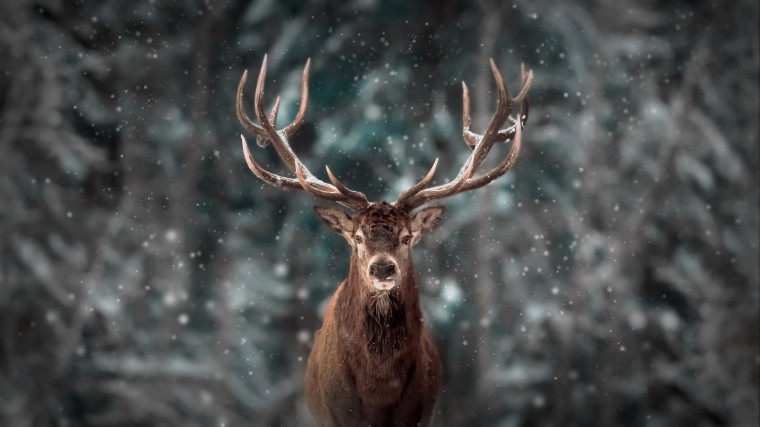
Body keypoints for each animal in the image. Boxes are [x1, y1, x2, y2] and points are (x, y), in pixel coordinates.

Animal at [236, 55, 532, 427]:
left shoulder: (419, 414)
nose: (382, 269)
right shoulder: (338, 416)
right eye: (358, 237)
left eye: (407, 237)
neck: (379, 390)